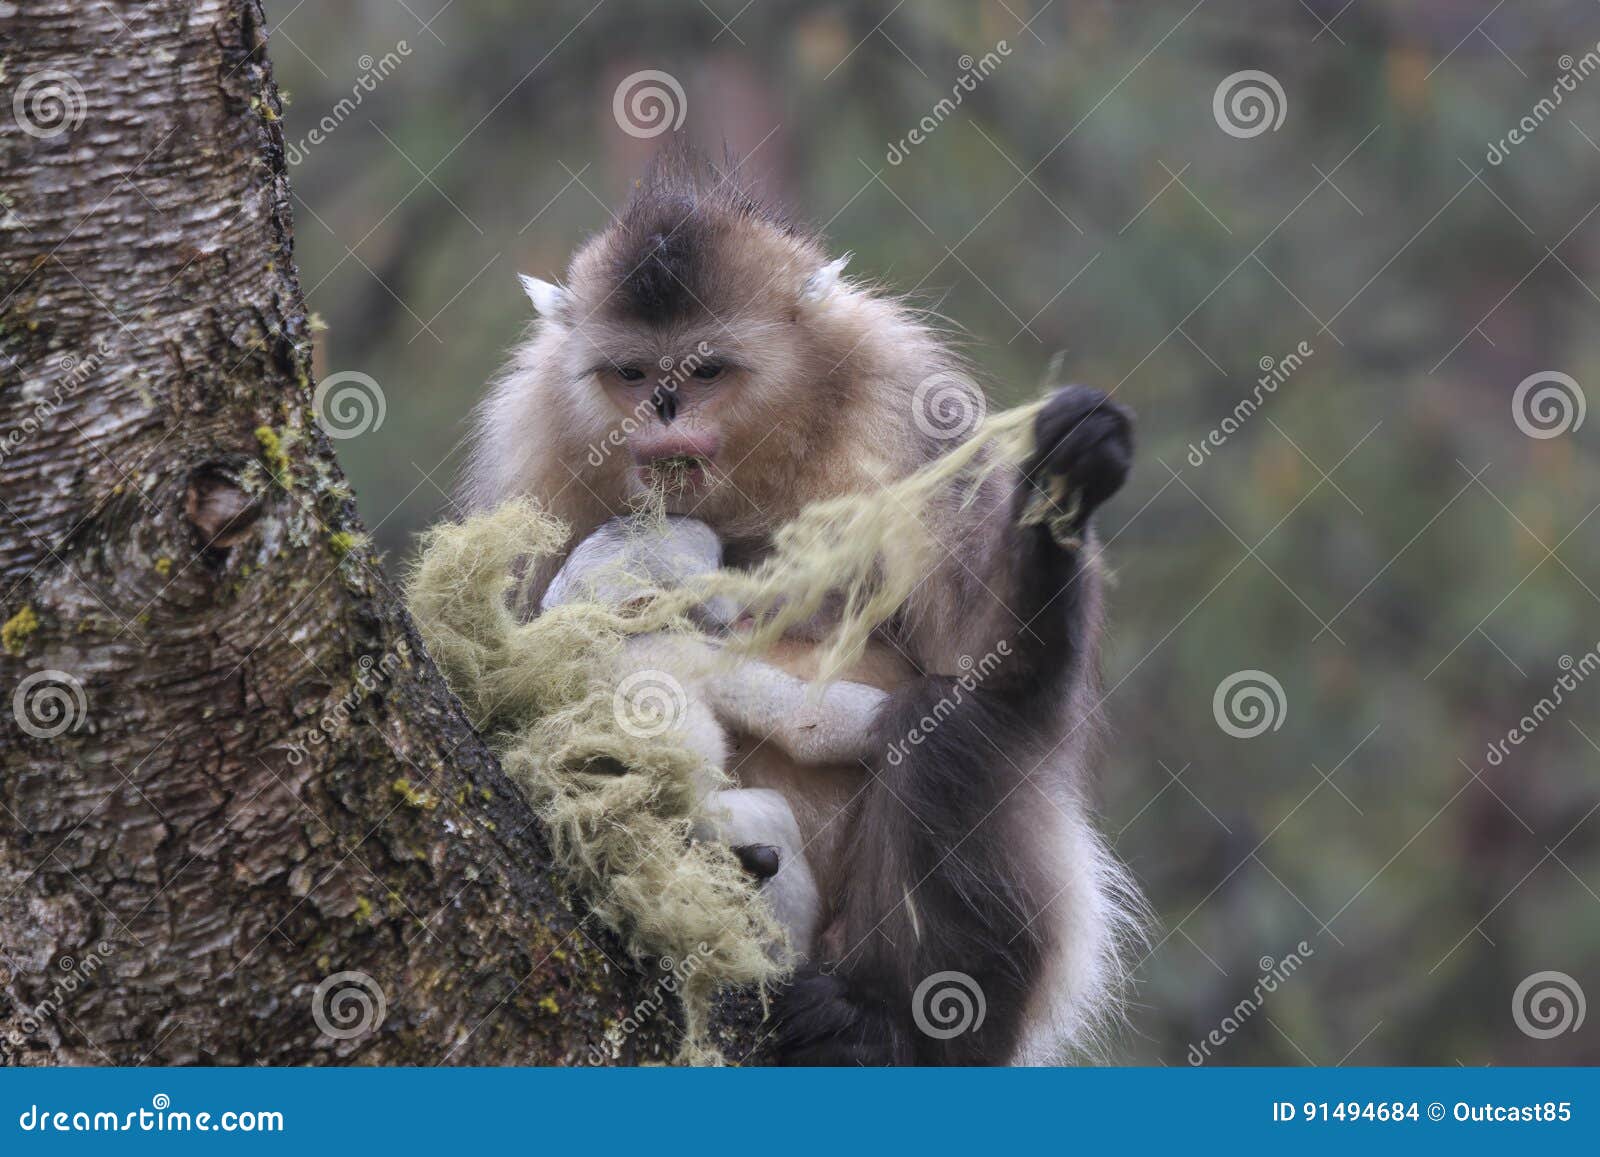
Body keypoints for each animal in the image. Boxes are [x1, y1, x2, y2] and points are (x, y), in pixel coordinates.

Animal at [464, 145, 1139, 1065]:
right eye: (633, 374)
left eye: (704, 371)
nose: (663, 412)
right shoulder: (530, 441)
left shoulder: (905, 396)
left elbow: (996, 673)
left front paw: (1061, 481)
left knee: (949, 723)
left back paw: (891, 1025)